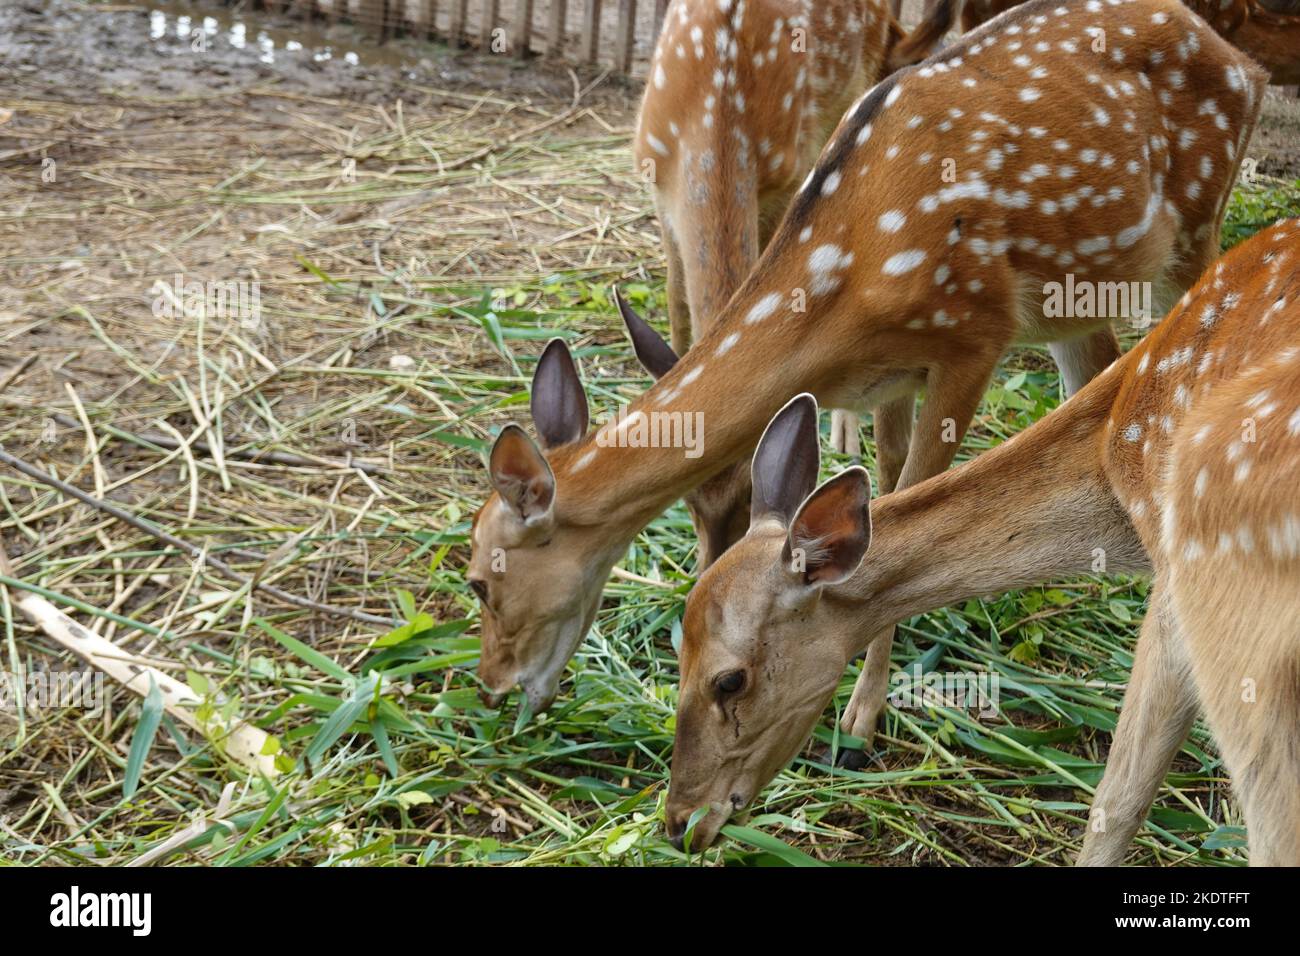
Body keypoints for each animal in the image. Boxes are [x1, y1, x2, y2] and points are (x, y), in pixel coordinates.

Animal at [631, 0, 957, 568]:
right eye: (685, 498)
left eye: (751, 497)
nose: (707, 567)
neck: (711, 114)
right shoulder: (655, 182)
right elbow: (676, 310)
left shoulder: (786, 179)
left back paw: (847, 431)